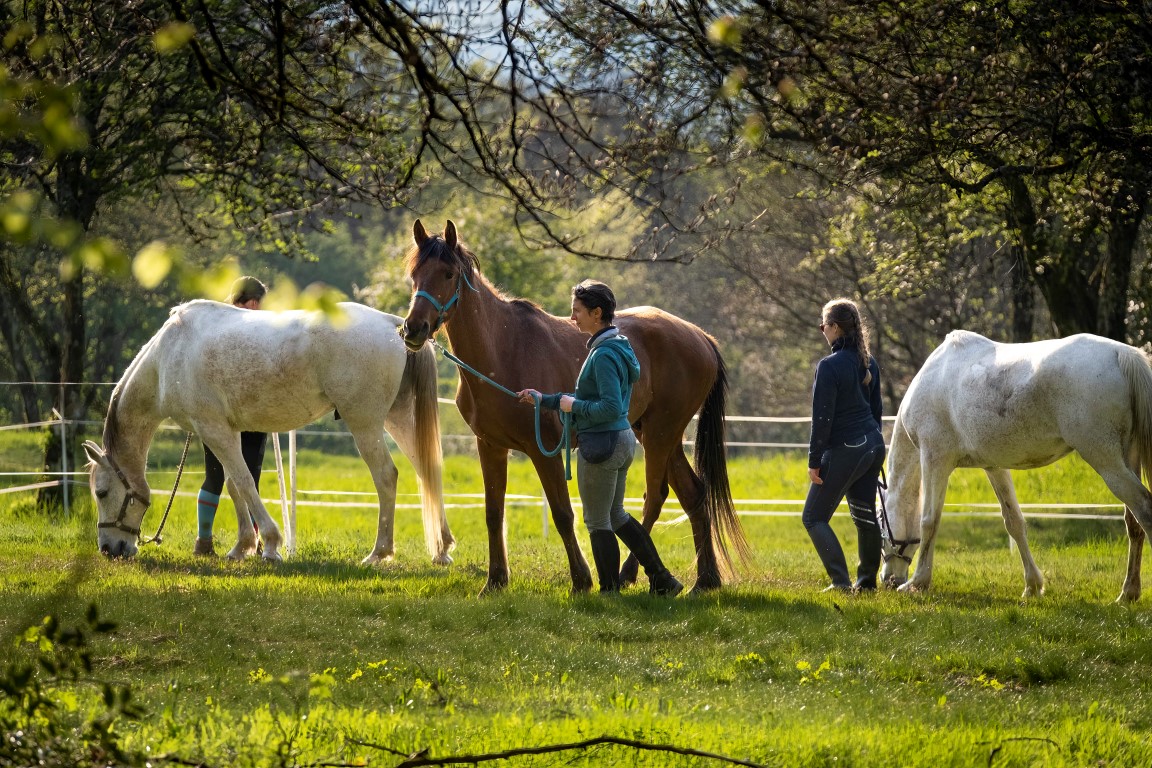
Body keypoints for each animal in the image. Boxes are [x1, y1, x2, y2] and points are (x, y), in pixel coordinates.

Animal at [84, 300, 455, 565]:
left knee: (386, 477)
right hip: (398, 419)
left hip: (365, 424)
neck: (168, 358)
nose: (109, 548)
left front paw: (271, 545)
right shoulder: (228, 431)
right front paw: (243, 547)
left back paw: (379, 552)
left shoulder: (213, 429)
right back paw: (442, 549)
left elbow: (245, 482)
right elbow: (235, 485)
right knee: (428, 471)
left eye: (101, 492)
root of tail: (391, 323)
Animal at [399, 219, 750, 594]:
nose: (414, 328)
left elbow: (563, 513)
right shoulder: (490, 446)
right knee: (694, 495)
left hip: (661, 434)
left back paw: (631, 575)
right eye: (414, 274)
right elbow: (494, 513)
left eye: (448, 274)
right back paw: (705, 579)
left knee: (654, 498)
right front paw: (495, 581)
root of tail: (701, 337)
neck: (504, 350)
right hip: (656, 434)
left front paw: (582, 579)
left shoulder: (546, 451)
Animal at [879, 330, 1152, 602]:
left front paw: (918, 582)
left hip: (1105, 460)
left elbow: (929, 520)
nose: (888, 580)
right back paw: (1128, 593)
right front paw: (1032, 586)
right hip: (1128, 458)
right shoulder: (994, 467)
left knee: (1144, 509)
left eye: (882, 521)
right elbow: (1014, 522)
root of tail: (1122, 352)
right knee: (1133, 522)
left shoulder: (935, 459)